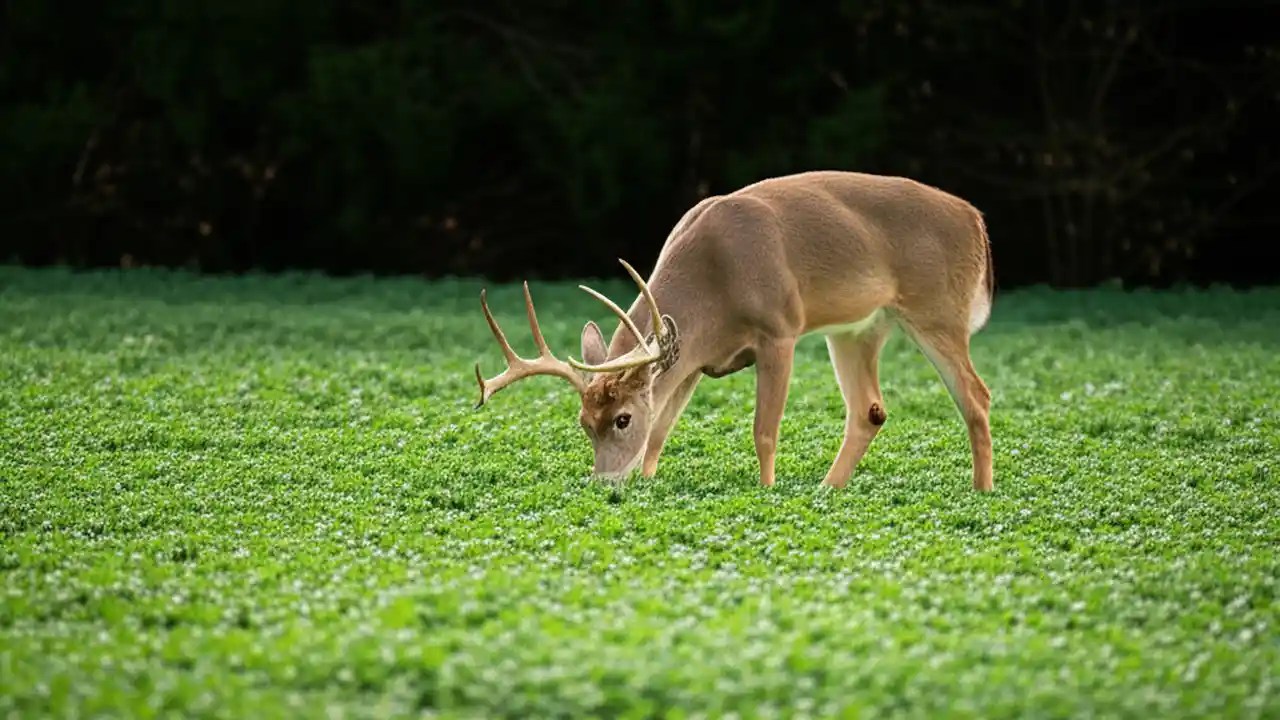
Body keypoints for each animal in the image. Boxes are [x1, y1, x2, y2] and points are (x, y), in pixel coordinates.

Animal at [472, 170, 996, 491]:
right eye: (584, 422)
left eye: (621, 419)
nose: (604, 482)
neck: (716, 278)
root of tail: (978, 221)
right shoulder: (694, 359)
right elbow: (660, 430)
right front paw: (647, 481)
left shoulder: (779, 329)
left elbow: (763, 429)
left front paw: (767, 490)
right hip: (858, 328)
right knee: (870, 410)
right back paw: (826, 489)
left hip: (937, 310)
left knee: (977, 395)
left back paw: (981, 490)